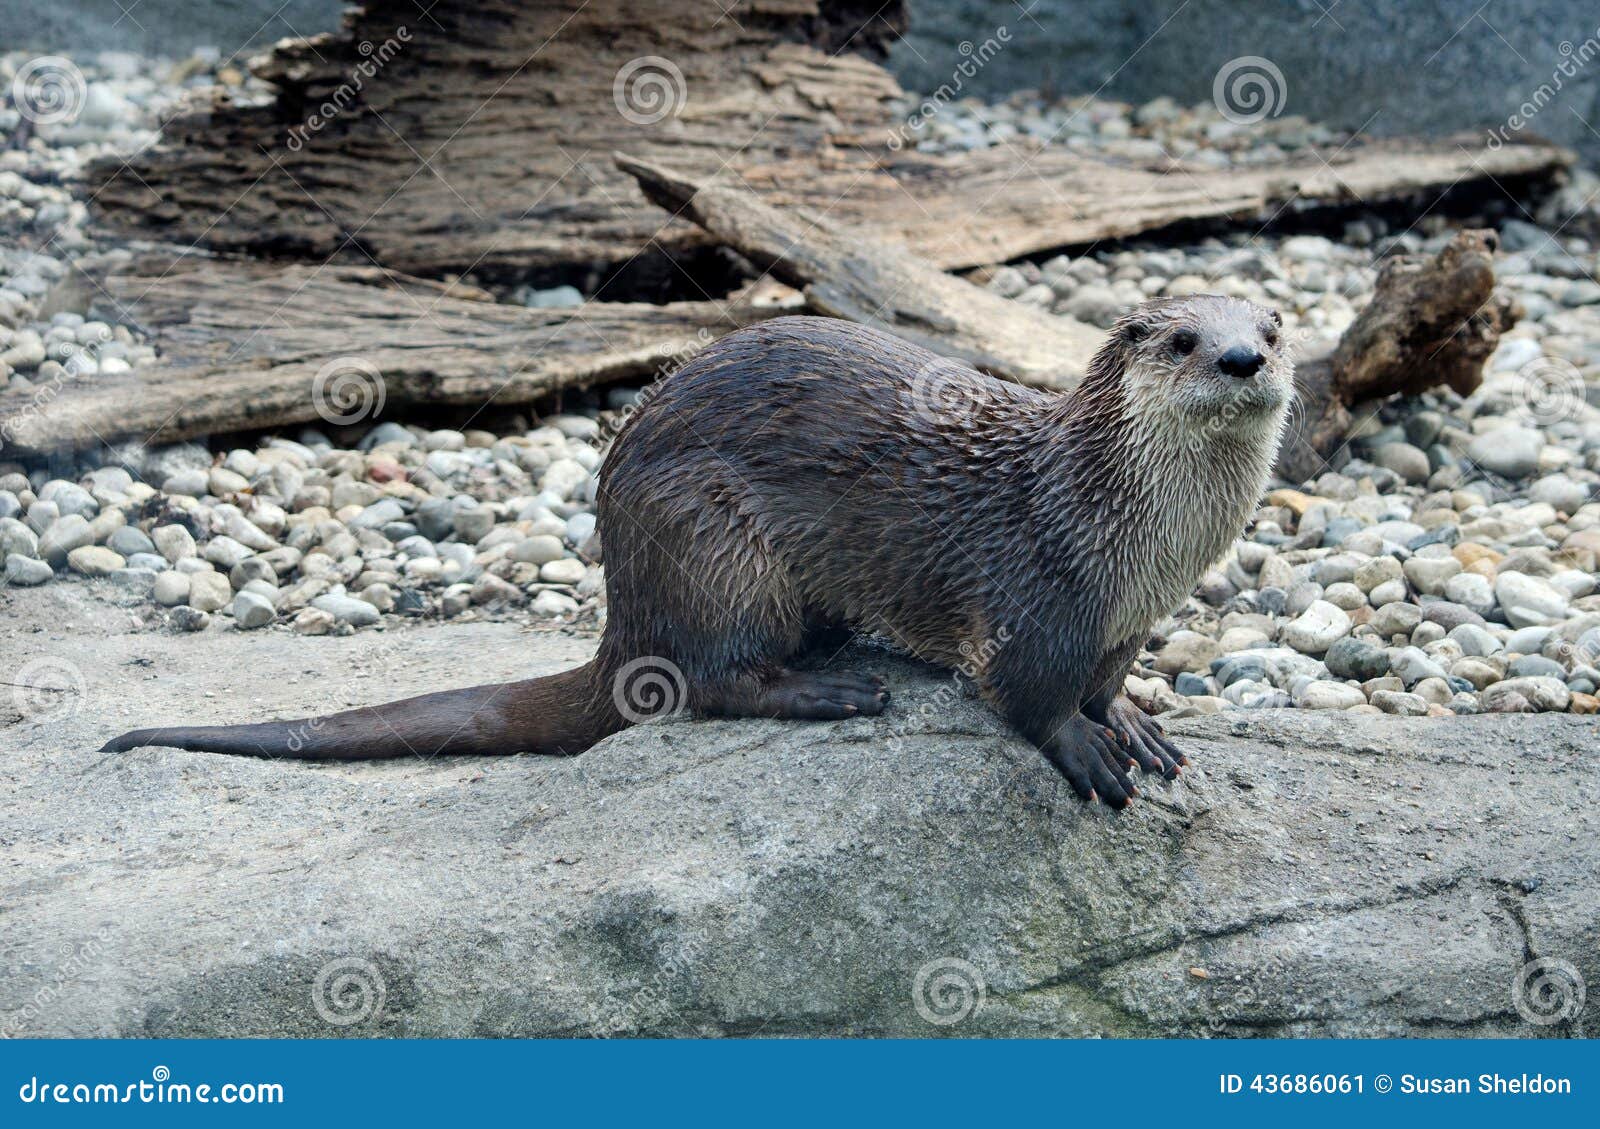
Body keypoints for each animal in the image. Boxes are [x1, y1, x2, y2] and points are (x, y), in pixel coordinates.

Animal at [104, 296, 1292, 808]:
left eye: (1273, 329)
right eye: (1182, 339)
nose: (1241, 357)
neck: (1130, 533)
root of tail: (621, 601)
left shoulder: (1128, 619)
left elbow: (1108, 681)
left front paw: (1134, 723)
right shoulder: (1037, 594)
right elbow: (1027, 695)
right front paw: (1083, 746)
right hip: (714, 540)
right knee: (705, 680)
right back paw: (826, 692)